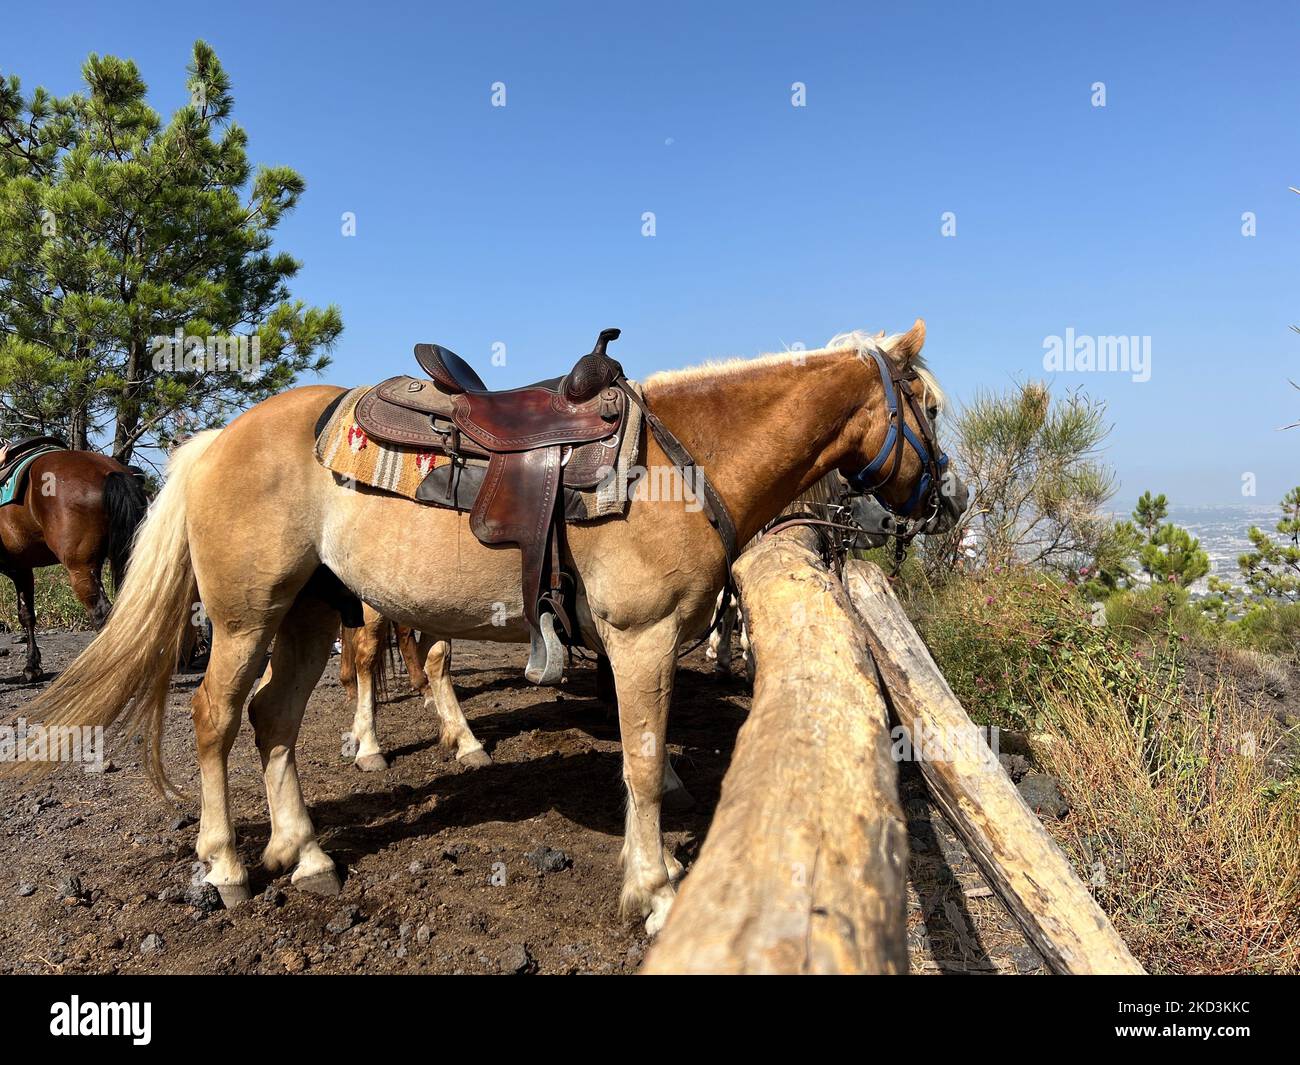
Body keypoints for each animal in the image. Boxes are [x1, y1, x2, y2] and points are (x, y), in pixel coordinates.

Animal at [0, 447, 149, 682]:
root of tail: (107, 471)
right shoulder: (21, 568)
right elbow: (27, 615)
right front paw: (32, 665)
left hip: (81, 568)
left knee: (102, 614)